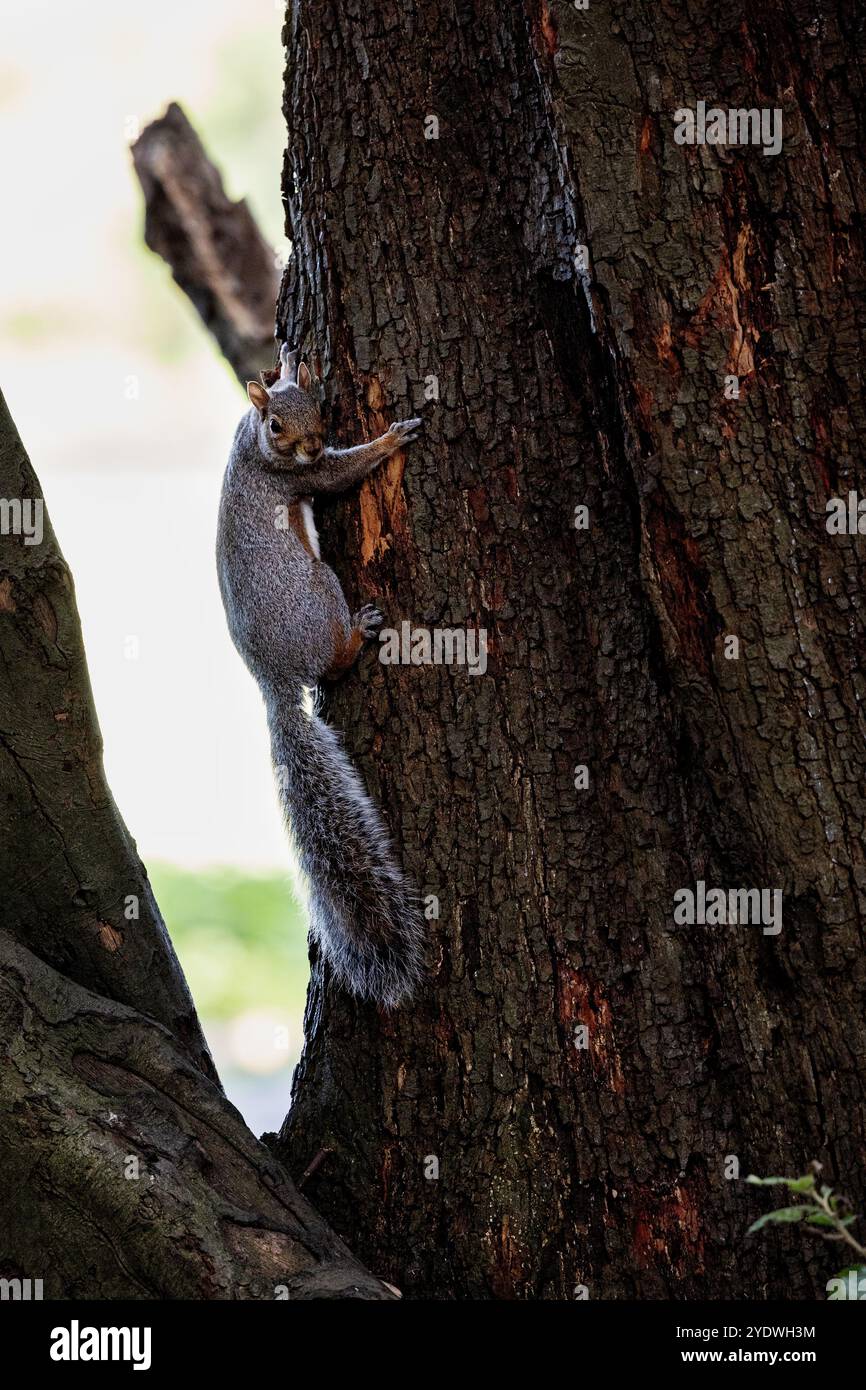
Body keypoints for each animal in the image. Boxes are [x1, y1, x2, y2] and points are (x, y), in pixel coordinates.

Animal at [216, 343, 425, 1008]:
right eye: (277, 425)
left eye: (319, 406)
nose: (309, 445)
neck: (255, 442)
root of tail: (273, 685)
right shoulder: (298, 478)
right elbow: (339, 474)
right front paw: (391, 439)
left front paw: (286, 359)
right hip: (321, 590)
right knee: (334, 658)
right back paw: (361, 631)